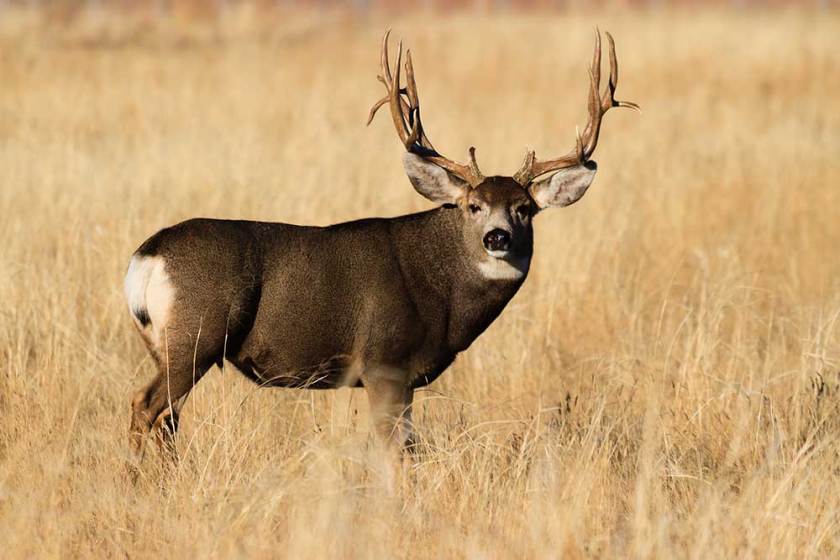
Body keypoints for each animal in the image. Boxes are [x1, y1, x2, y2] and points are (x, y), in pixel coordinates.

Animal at [123, 30, 638, 467]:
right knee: (145, 405)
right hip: (196, 334)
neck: (442, 293)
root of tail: (146, 256)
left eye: (524, 209)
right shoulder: (383, 363)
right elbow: (398, 453)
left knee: (167, 419)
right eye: (472, 205)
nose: (497, 237)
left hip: (163, 343)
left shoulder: (402, 377)